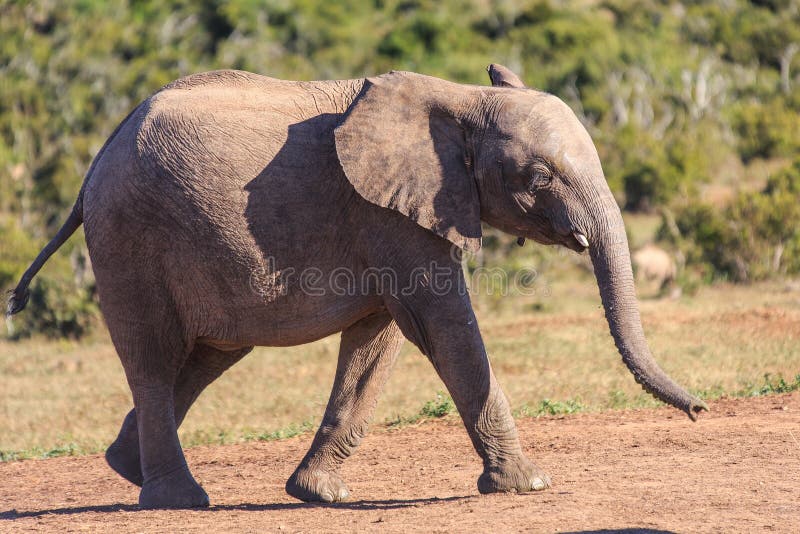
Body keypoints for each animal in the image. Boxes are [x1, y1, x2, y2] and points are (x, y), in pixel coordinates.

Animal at [7, 63, 707, 509]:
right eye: (539, 178)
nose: (701, 410)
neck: (460, 100)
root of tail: (96, 161)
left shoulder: (392, 217)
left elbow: (380, 340)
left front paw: (319, 495)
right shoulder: (389, 213)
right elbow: (444, 326)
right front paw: (528, 485)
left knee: (209, 353)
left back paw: (124, 468)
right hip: (129, 236)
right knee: (154, 357)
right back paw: (179, 500)